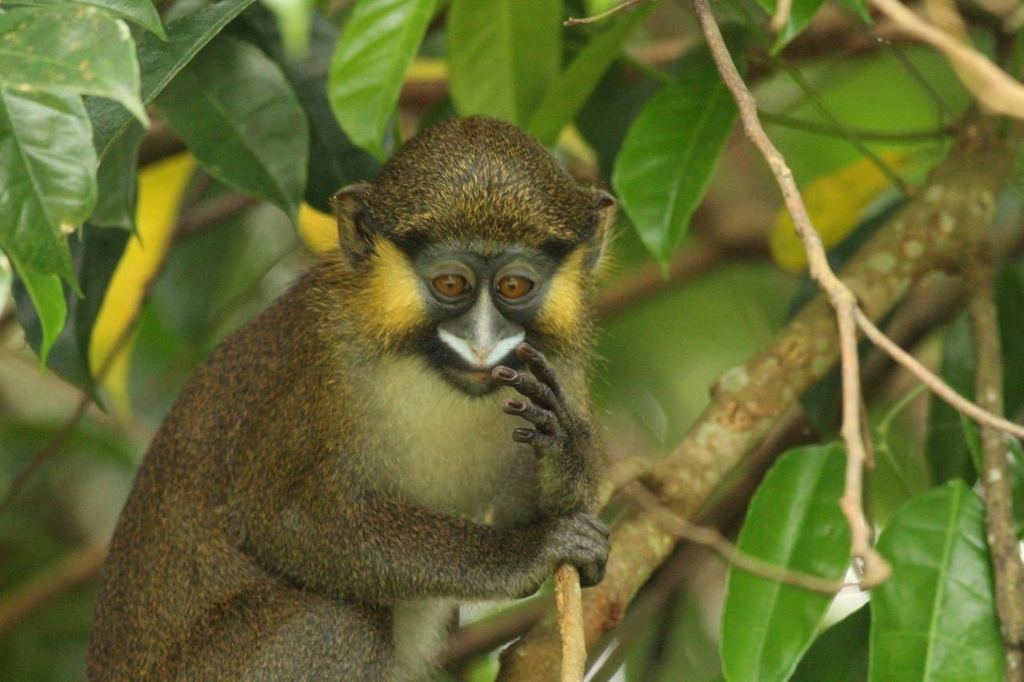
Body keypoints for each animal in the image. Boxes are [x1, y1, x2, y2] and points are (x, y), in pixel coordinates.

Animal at [87, 116, 616, 681]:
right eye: (452, 283)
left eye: (514, 286)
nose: (481, 344)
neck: (424, 369)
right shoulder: (323, 372)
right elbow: (282, 519)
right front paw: (521, 552)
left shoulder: (555, 370)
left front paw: (563, 450)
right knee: (338, 621)